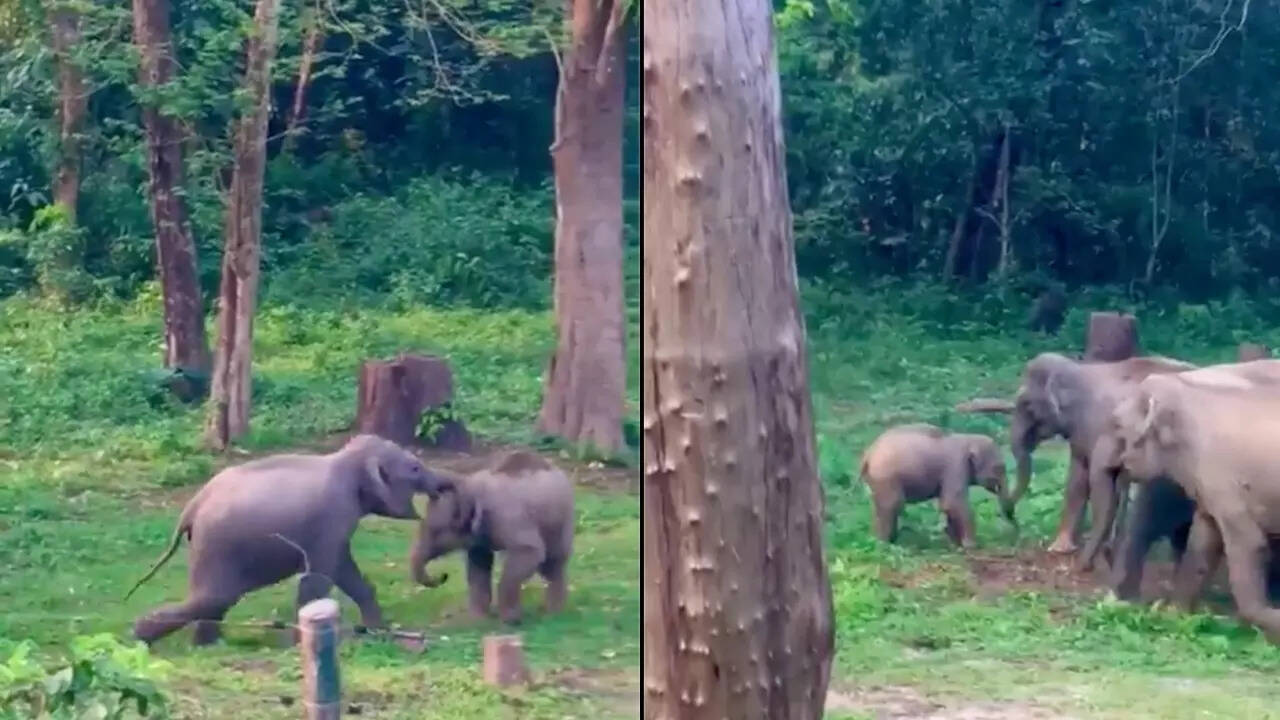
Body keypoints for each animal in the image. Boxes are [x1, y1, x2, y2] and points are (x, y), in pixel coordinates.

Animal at [126, 434, 448, 646]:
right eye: (415, 468)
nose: (441, 489)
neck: (347, 459)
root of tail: (193, 506)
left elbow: (346, 571)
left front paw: (376, 631)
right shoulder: (330, 518)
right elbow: (319, 577)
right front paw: (301, 643)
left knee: (212, 599)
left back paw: (206, 644)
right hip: (215, 546)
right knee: (216, 597)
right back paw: (141, 636)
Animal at [409, 449, 574, 624]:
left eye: (436, 531)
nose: (443, 576)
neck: (470, 486)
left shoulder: (509, 518)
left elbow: (529, 552)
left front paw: (510, 620)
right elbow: (479, 563)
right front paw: (478, 620)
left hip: (563, 520)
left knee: (552, 563)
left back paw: (553, 614)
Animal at [859, 424, 1009, 548]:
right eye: (1000, 467)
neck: (967, 437)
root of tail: (868, 454)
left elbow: (947, 505)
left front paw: (956, 544)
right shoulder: (956, 466)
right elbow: (953, 503)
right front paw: (971, 545)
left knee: (879, 507)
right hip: (886, 478)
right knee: (893, 505)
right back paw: (885, 545)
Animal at [1001, 352, 1196, 556]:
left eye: (1027, 405)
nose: (1011, 517)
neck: (1077, 369)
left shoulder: (1093, 426)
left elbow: (1089, 478)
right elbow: (1080, 477)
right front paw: (1062, 547)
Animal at [1113, 370, 1280, 641]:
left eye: (1116, 424)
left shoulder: (1225, 482)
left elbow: (1249, 542)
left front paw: (1272, 620)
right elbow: (1202, 543)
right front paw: (1172, 615)